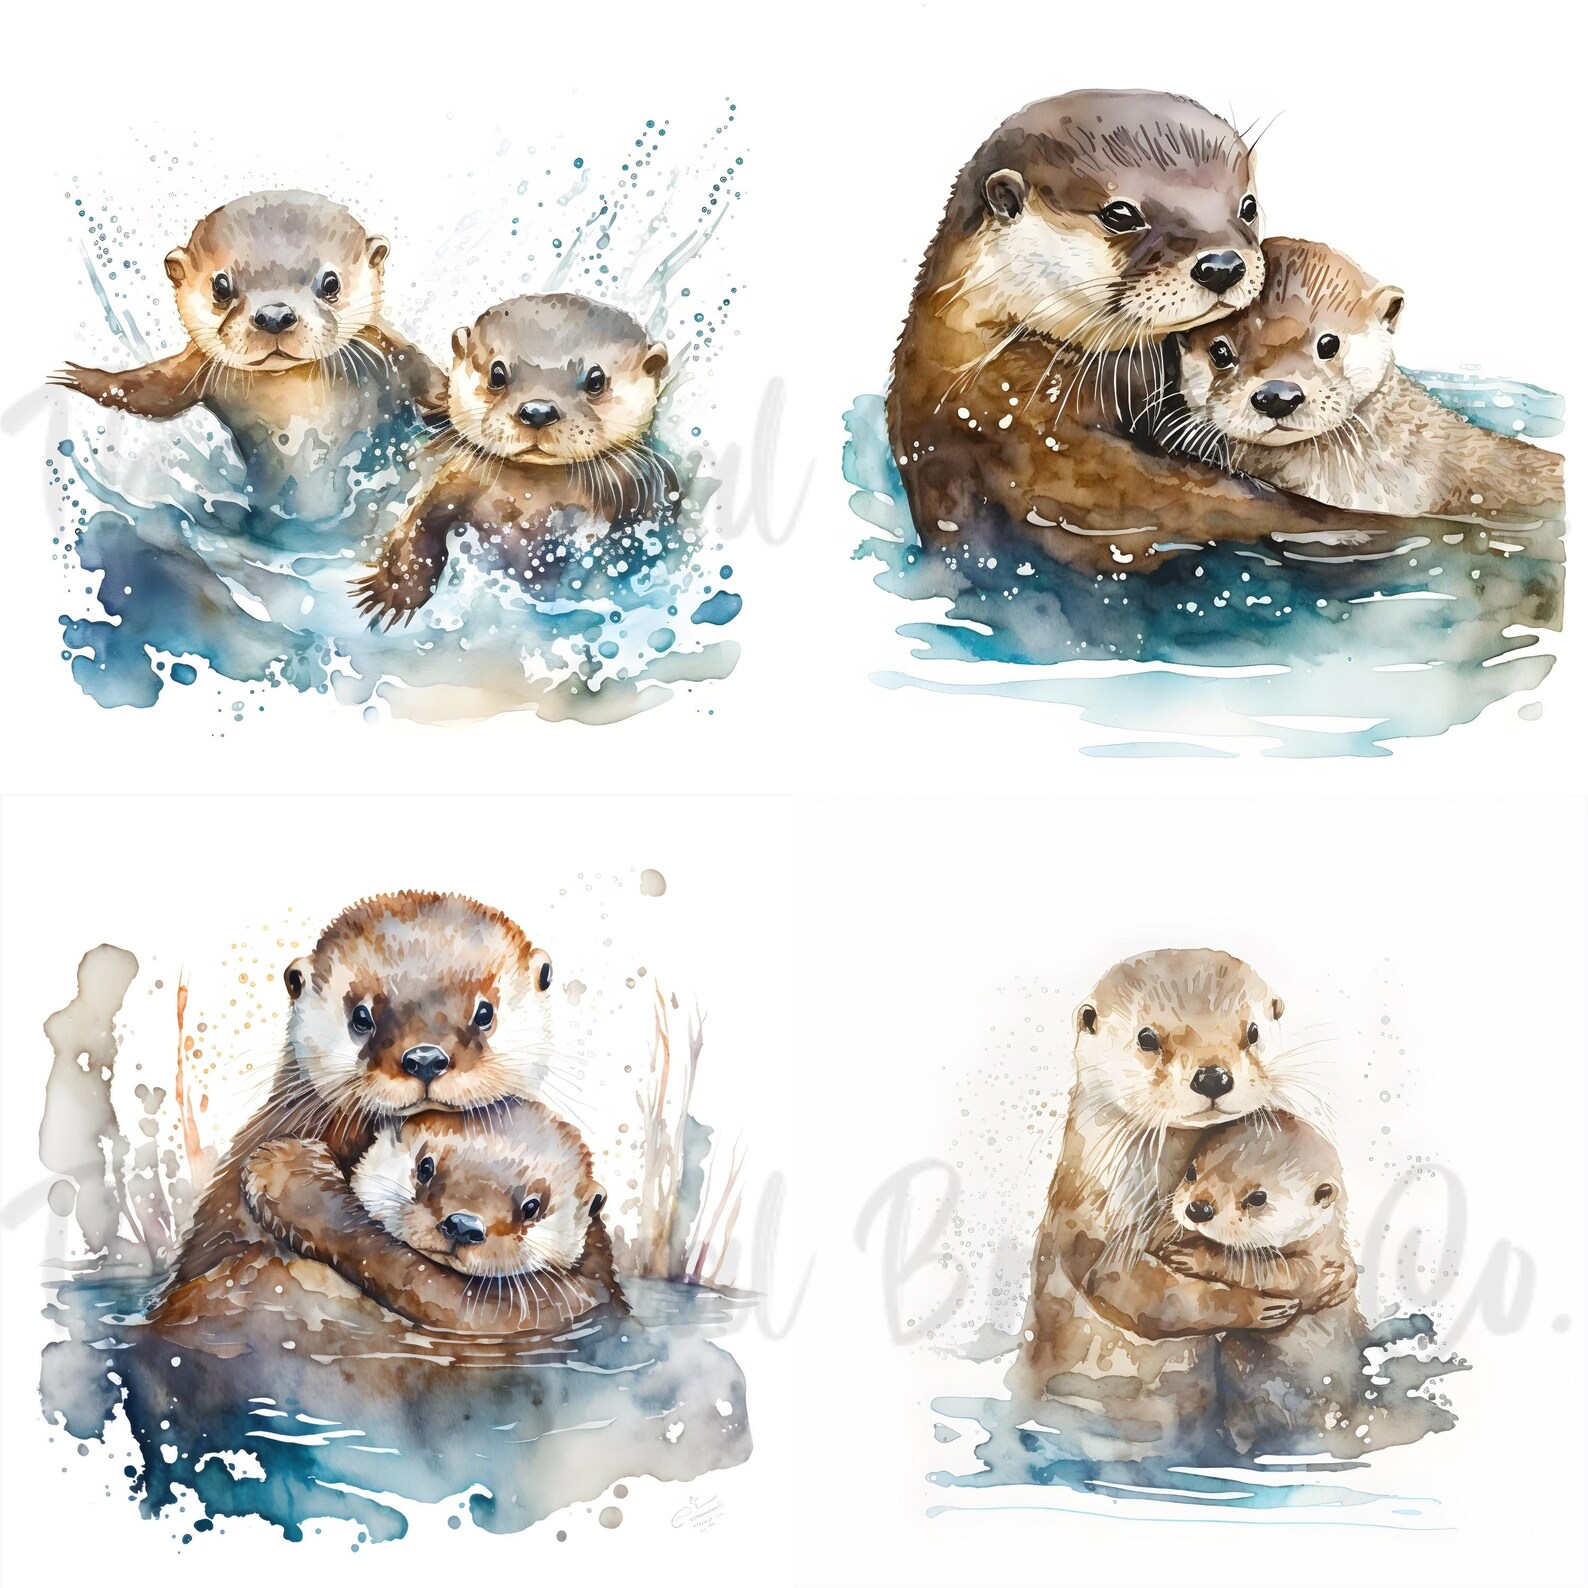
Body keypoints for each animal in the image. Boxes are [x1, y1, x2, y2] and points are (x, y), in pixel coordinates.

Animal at [52, 191, 448, 511]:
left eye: (331, 283)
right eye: (221, 286)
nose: (274, 315)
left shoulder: (392, 350)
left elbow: (429, 378)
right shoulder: (194, 367)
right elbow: (149, 392)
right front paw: (81, 377)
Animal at [352, 292, 676, 627]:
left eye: (596, 380)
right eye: (497, 374)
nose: (538, 410)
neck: (530, 503)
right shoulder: (454, 480)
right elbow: (417, 526)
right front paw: (395, 587)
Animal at [1013, 949, 1316, 1460]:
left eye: (1253, 1031)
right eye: (1147, 1037)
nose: (1213, 1075)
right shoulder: (1091, 1220)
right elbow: (1136, 1291)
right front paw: (1254, 1306)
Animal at [1158, 1110, 1365, 1456]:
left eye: (1257, 1198)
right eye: (1190, 1172)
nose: (1198, 1208)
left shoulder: (1313, 1269)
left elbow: (1260, 1271)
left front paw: (1196, 1257)